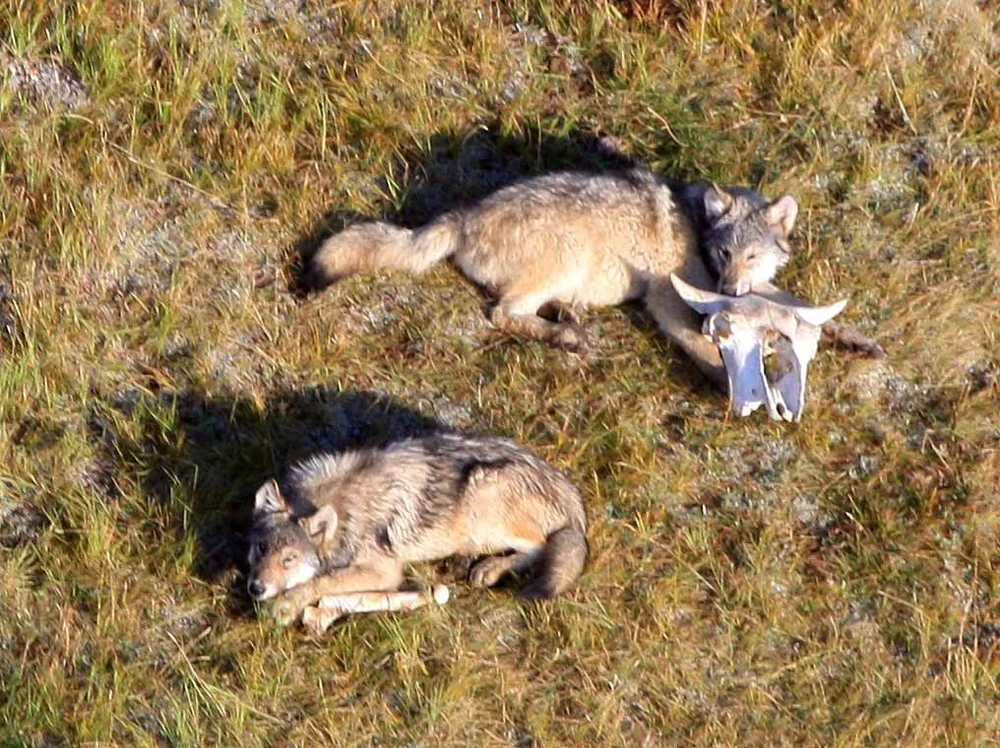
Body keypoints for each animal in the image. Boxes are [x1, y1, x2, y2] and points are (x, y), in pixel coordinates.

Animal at [246, 432, 588, 625]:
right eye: (261, 548)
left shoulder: (384, 571)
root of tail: (573, 499)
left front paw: (287, 606)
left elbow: (320, 581)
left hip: (482, 491)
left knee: (539, 547)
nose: (256, 588)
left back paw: (489, 569)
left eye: (289, 559)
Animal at [306, 170, 805, 389]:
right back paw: (565, 335)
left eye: (751, 257)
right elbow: (697, 339)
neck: (697, 228)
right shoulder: (666, 297)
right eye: (726, 254)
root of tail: (463, 217)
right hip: (568, 256)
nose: (728, 290)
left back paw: (568, 320)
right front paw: (730, 377)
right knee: (501, 314)